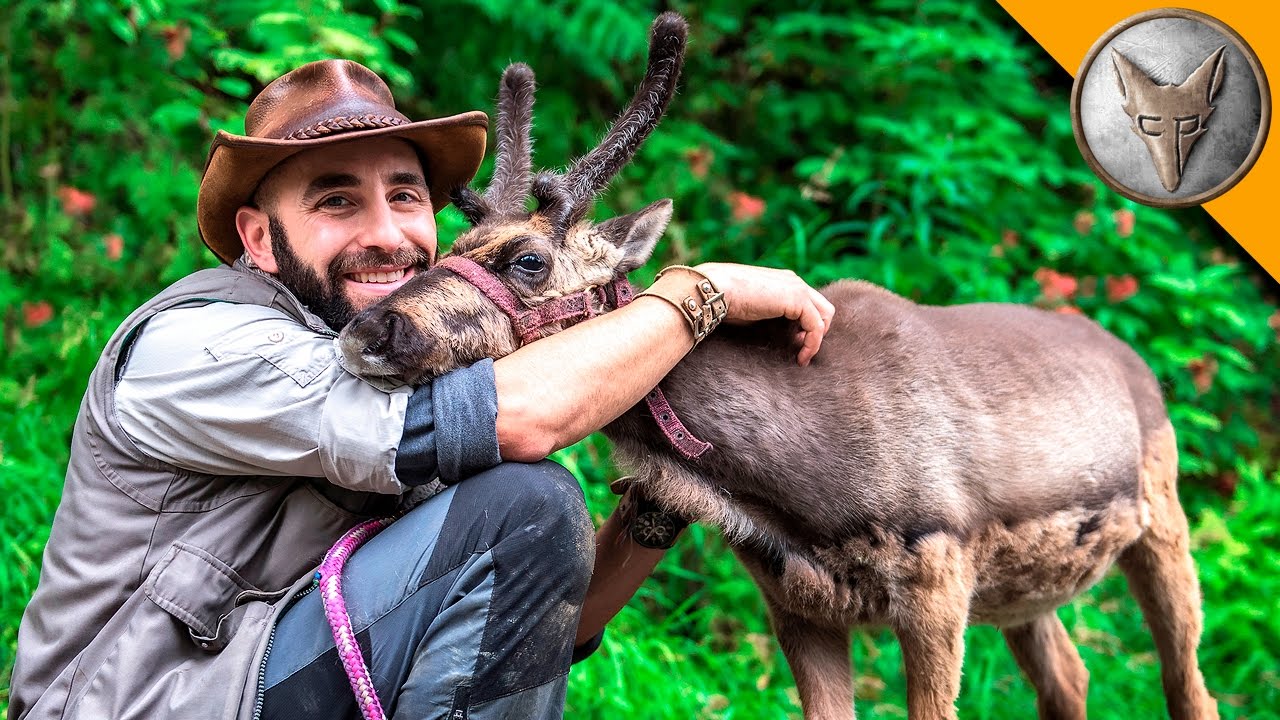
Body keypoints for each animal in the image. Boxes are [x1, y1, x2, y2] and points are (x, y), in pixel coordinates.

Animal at [336, 13, 1218, 720]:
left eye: (527, 260)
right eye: (449, 246)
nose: (369, 328)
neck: (795, 485)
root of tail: (1135, 364)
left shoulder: (939, 568)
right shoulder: (796, 601)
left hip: (1164, 513)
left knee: (1189, 686)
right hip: (1028, 593)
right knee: (1071, 677)